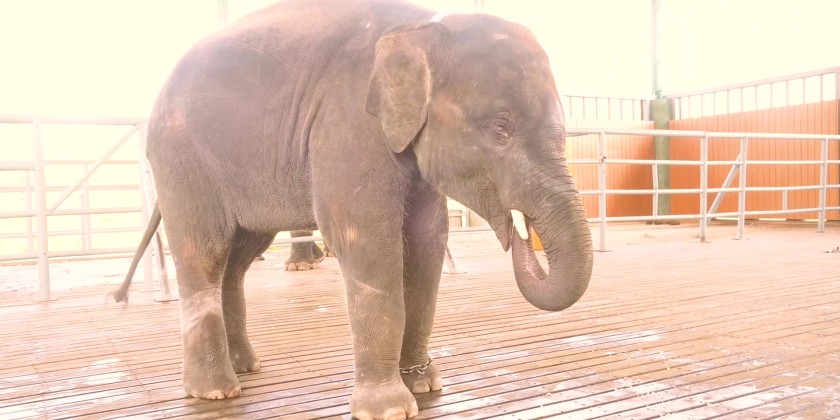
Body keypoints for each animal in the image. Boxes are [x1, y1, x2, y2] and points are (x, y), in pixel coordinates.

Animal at [124, 0, 594, 418]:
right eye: (500, 129)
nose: (519, 230)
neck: (424, 28)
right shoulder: (348, 122)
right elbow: (365, 236)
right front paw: (390, 409)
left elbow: (427, 240)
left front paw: (425, 385)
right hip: (181, 157)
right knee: (204, 252)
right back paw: (216, 391)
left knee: (238, 256)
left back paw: (246, 367)